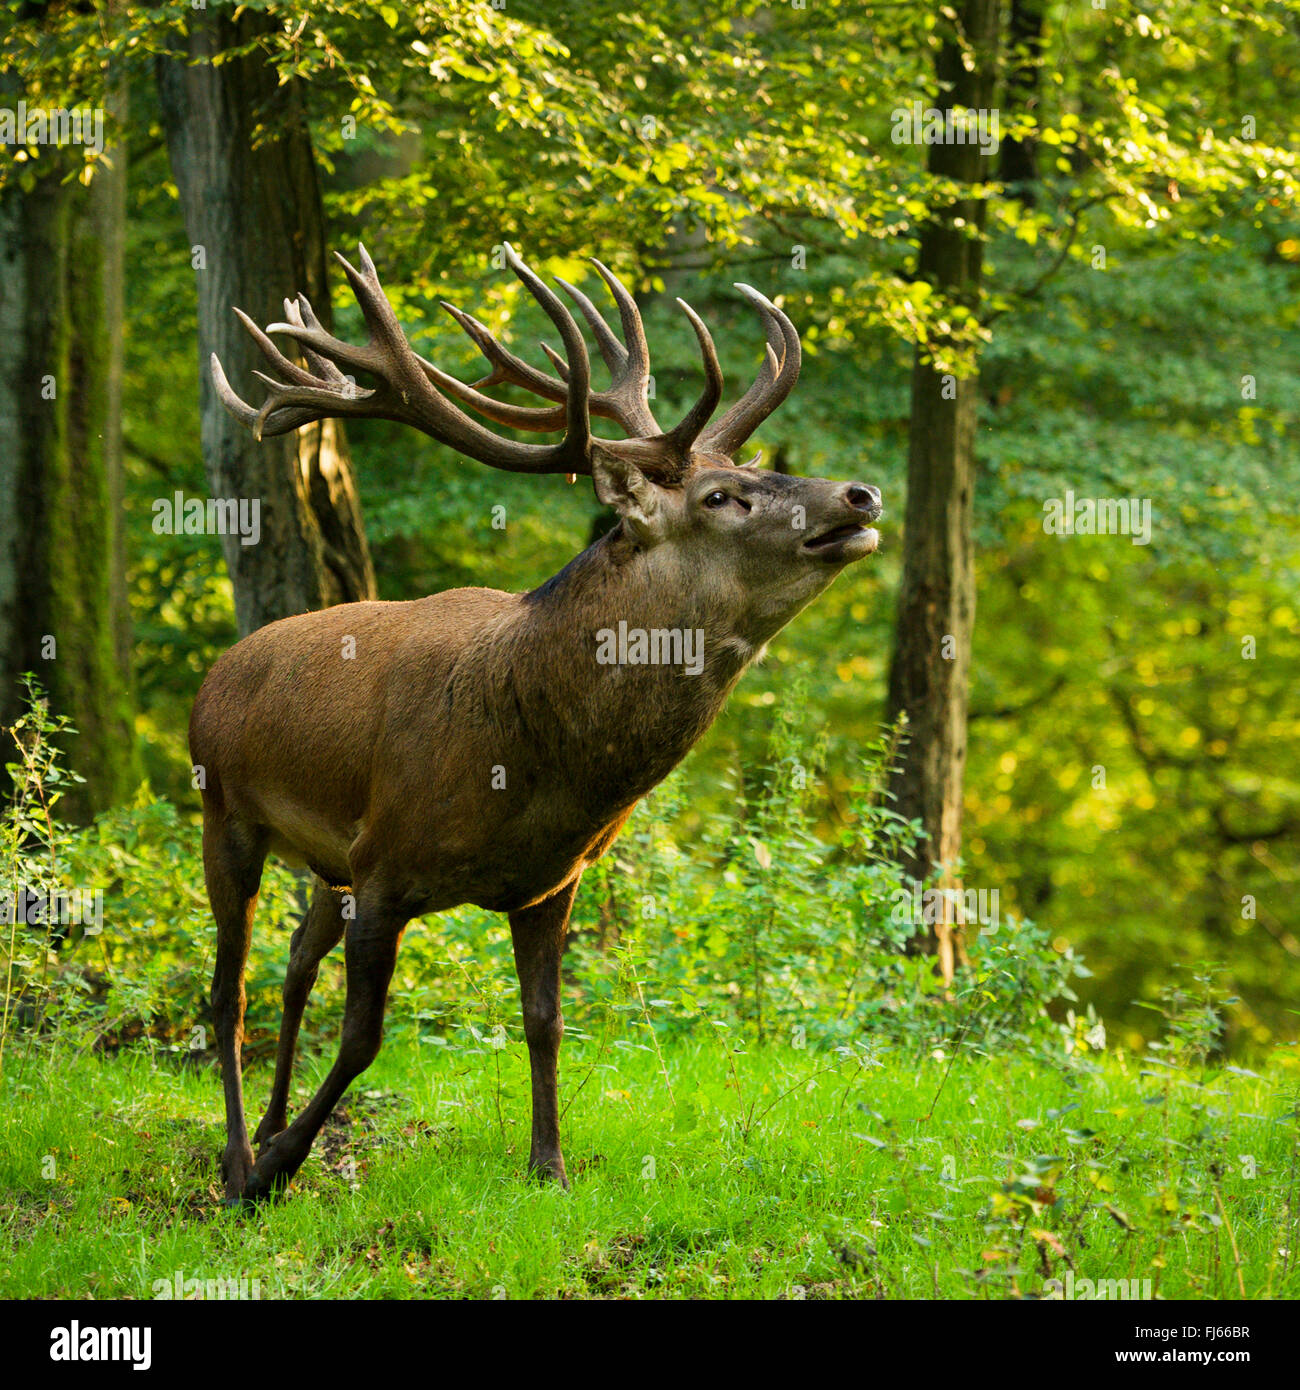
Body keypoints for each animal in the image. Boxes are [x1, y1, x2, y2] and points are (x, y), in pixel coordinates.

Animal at [193, 242, 882, 1204]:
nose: (859, 494)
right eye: (721, 495)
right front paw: (278, 1167)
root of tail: (219, 673)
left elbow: (546, 1021)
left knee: (294, 966)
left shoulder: (547, 881)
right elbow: (365, 1038)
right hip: (225, 811)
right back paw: (236, 1156)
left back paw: (260, 1124)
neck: (532, 768)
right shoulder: (385, 864)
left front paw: (547, 1166)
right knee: (228, 993)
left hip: (324, 859)